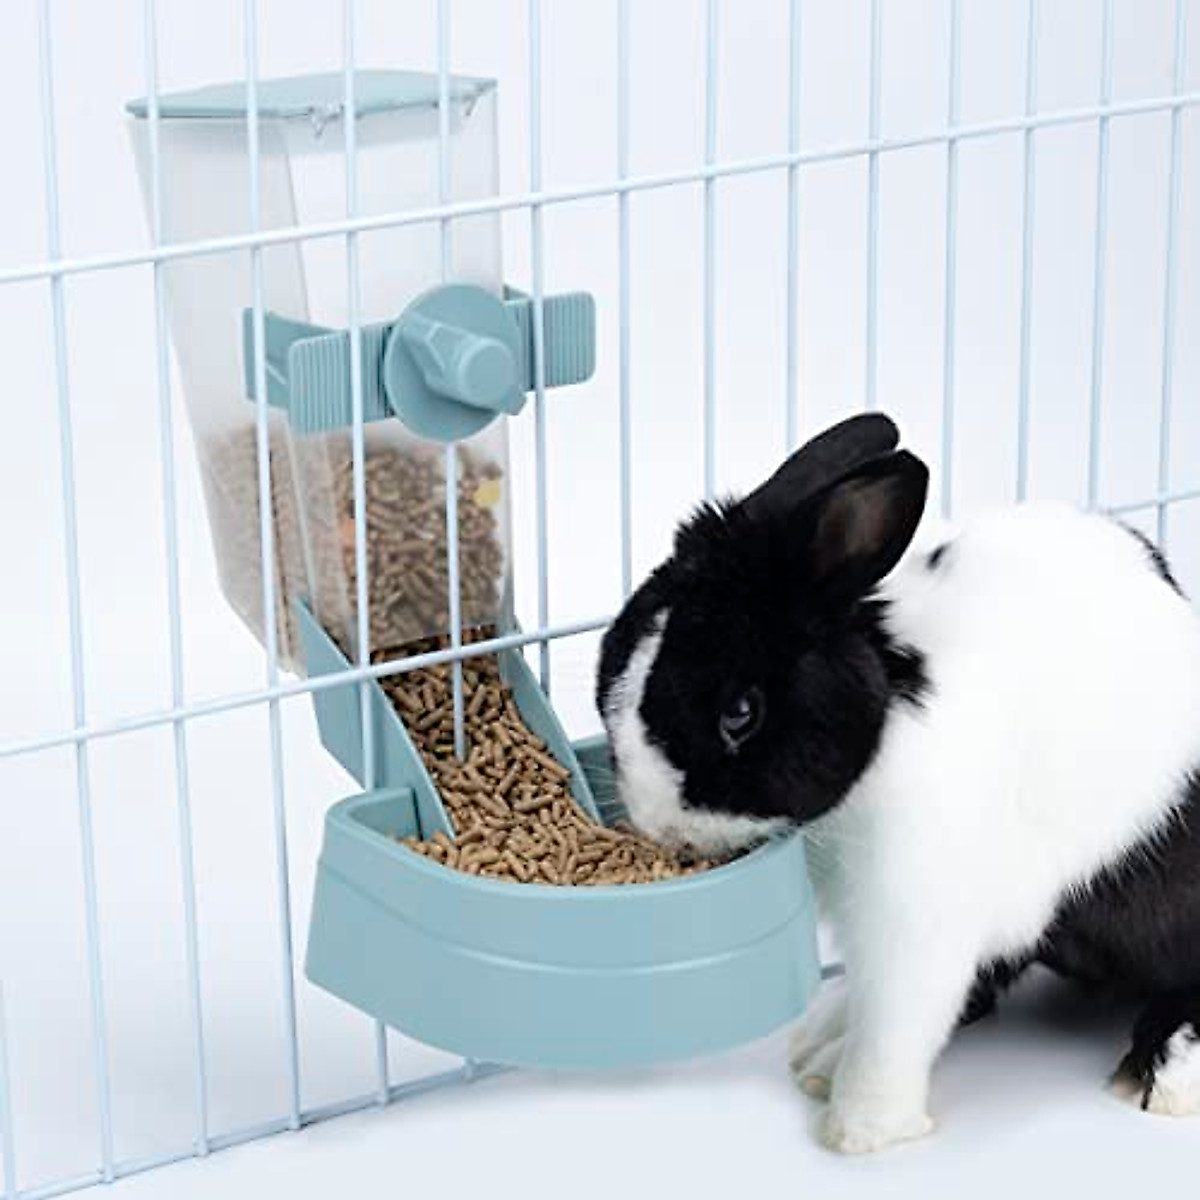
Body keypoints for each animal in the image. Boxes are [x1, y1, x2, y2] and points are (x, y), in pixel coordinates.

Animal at [595, 412, 1200, 1154]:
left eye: (740, 712)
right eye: (616, 656)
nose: (661, 827)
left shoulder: (916, 914)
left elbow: (896, 1024)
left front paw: (863, 1130)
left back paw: (1168, 1072)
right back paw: (819, 1048)